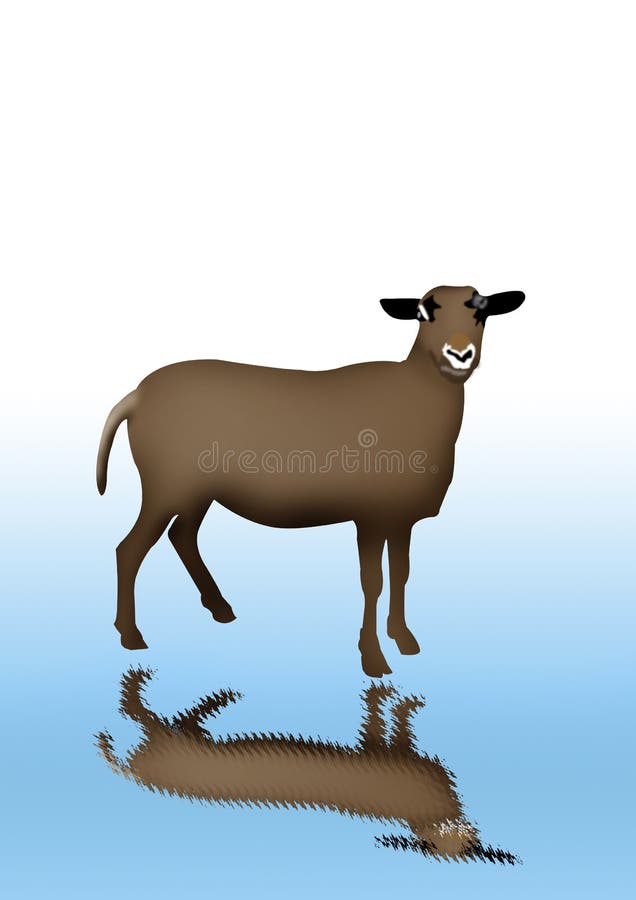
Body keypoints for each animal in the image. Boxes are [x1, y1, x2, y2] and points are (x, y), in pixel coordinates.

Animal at [95, 667, 518, 863]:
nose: (469, 836)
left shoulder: (392, 754)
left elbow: (385, 721)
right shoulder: (390, 751)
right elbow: (385, 718)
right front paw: (396, 696)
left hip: (176, 744)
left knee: (152, 716)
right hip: (178, 742)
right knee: (152, 712)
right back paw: (217, 694)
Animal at [97, 285, 525, 676]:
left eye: (482, 311)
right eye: (423, 313)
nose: (460, 355)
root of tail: (135, 396)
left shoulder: (400, 516)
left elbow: (401, 574)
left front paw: (403, 638)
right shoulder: (370, 515)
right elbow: (373, 581)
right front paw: (373, 658)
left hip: (196, 491)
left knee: (182, 536)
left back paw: (220, 608)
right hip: (164, 487)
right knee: (129, 549)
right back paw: (131, 635)